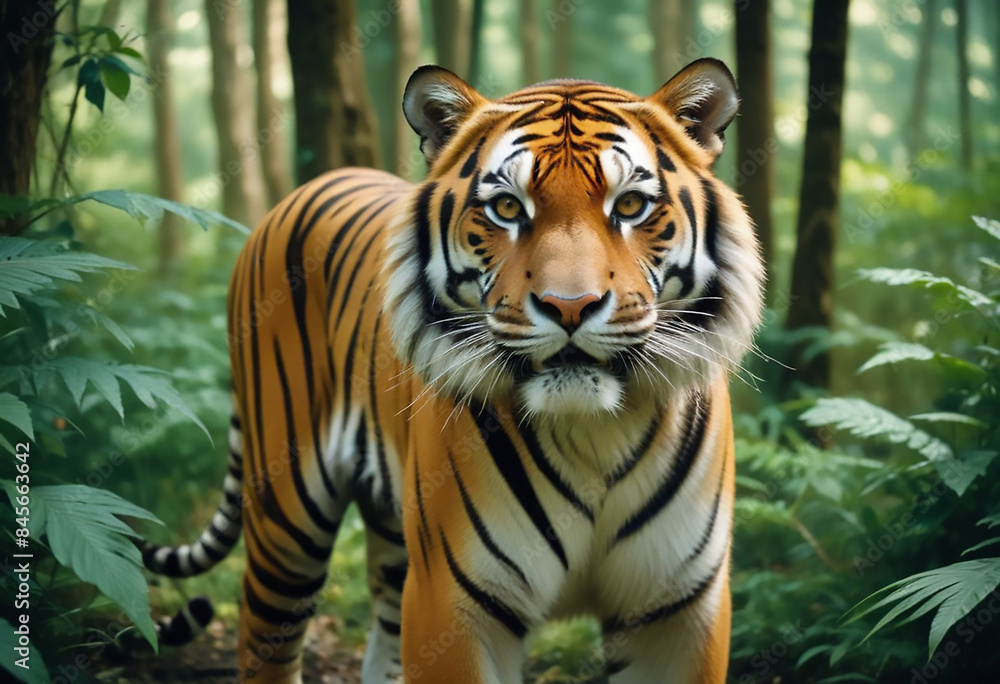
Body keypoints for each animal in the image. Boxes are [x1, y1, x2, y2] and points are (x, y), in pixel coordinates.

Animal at [140, 57, 764, 683]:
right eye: (508, 208)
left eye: (631, 205)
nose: (569, 306)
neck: (595, 433)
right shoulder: (453, 601)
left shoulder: (677, 609)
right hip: (285, 522)